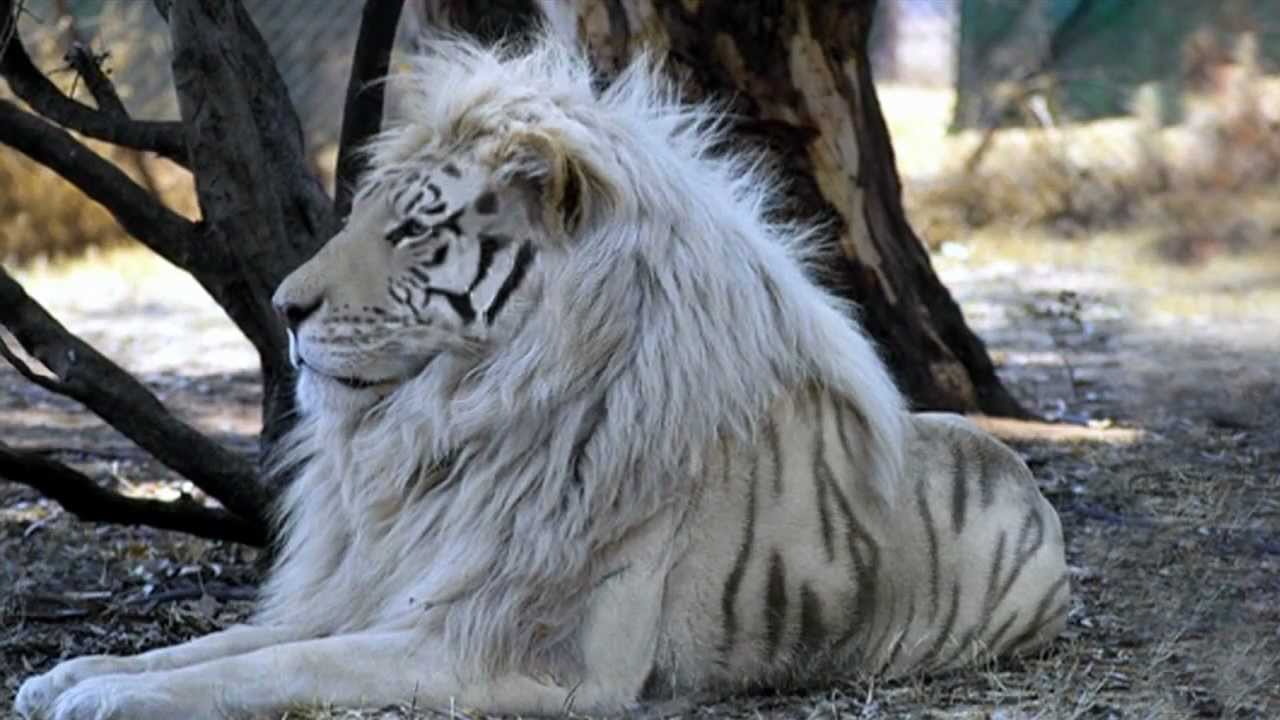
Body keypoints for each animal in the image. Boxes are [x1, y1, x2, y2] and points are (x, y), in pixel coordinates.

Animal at [15, 30, 1069, 720]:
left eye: (413, 230)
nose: (283, 306)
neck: (435, 445)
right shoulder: (369, 590)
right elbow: (228, 642)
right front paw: (70, 675)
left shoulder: (522, 655)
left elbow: (280, 671)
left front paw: (107, 697)